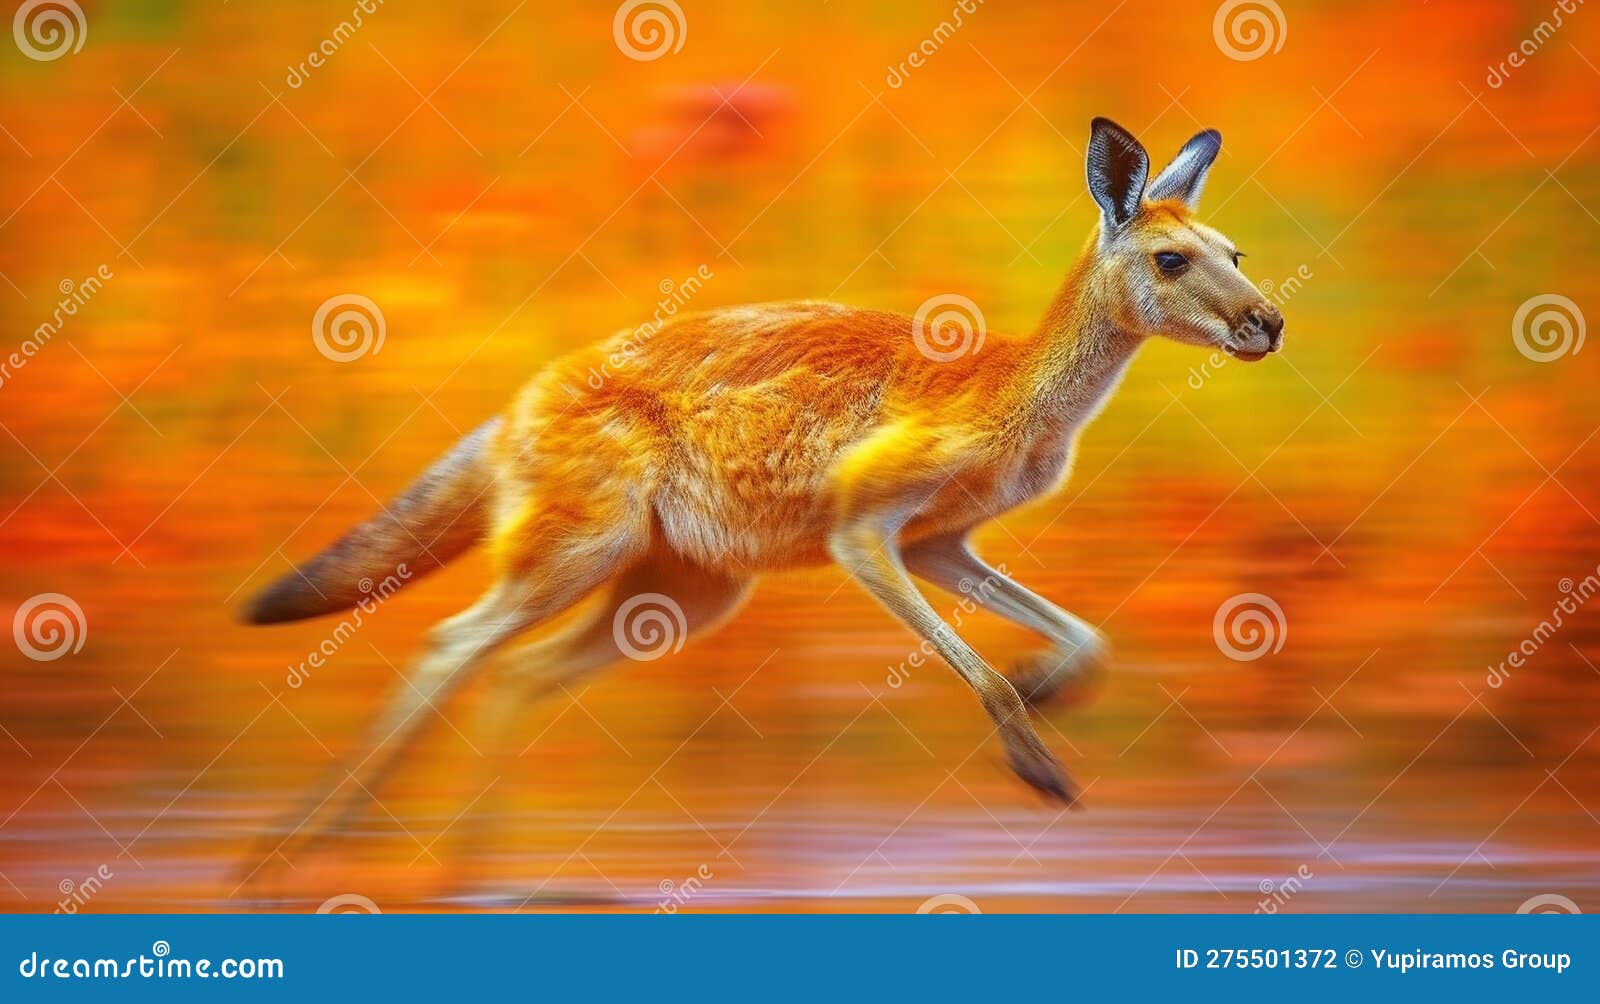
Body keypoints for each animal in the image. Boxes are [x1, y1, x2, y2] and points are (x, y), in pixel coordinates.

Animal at [241, 117, 1284, 870]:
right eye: (1172, 262)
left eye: (1236, 253)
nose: (1270, 323)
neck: (1018, 391)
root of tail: (517, 405)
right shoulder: (865, 532)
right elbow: (978, 670)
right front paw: (1036, 759)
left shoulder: (937, 543)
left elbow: (1082, 638)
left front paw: (1049, 687)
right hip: (582, 549)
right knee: (452, 646)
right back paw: (325, 850)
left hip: (680, 593)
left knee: (518, 672)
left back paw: (470, 868)